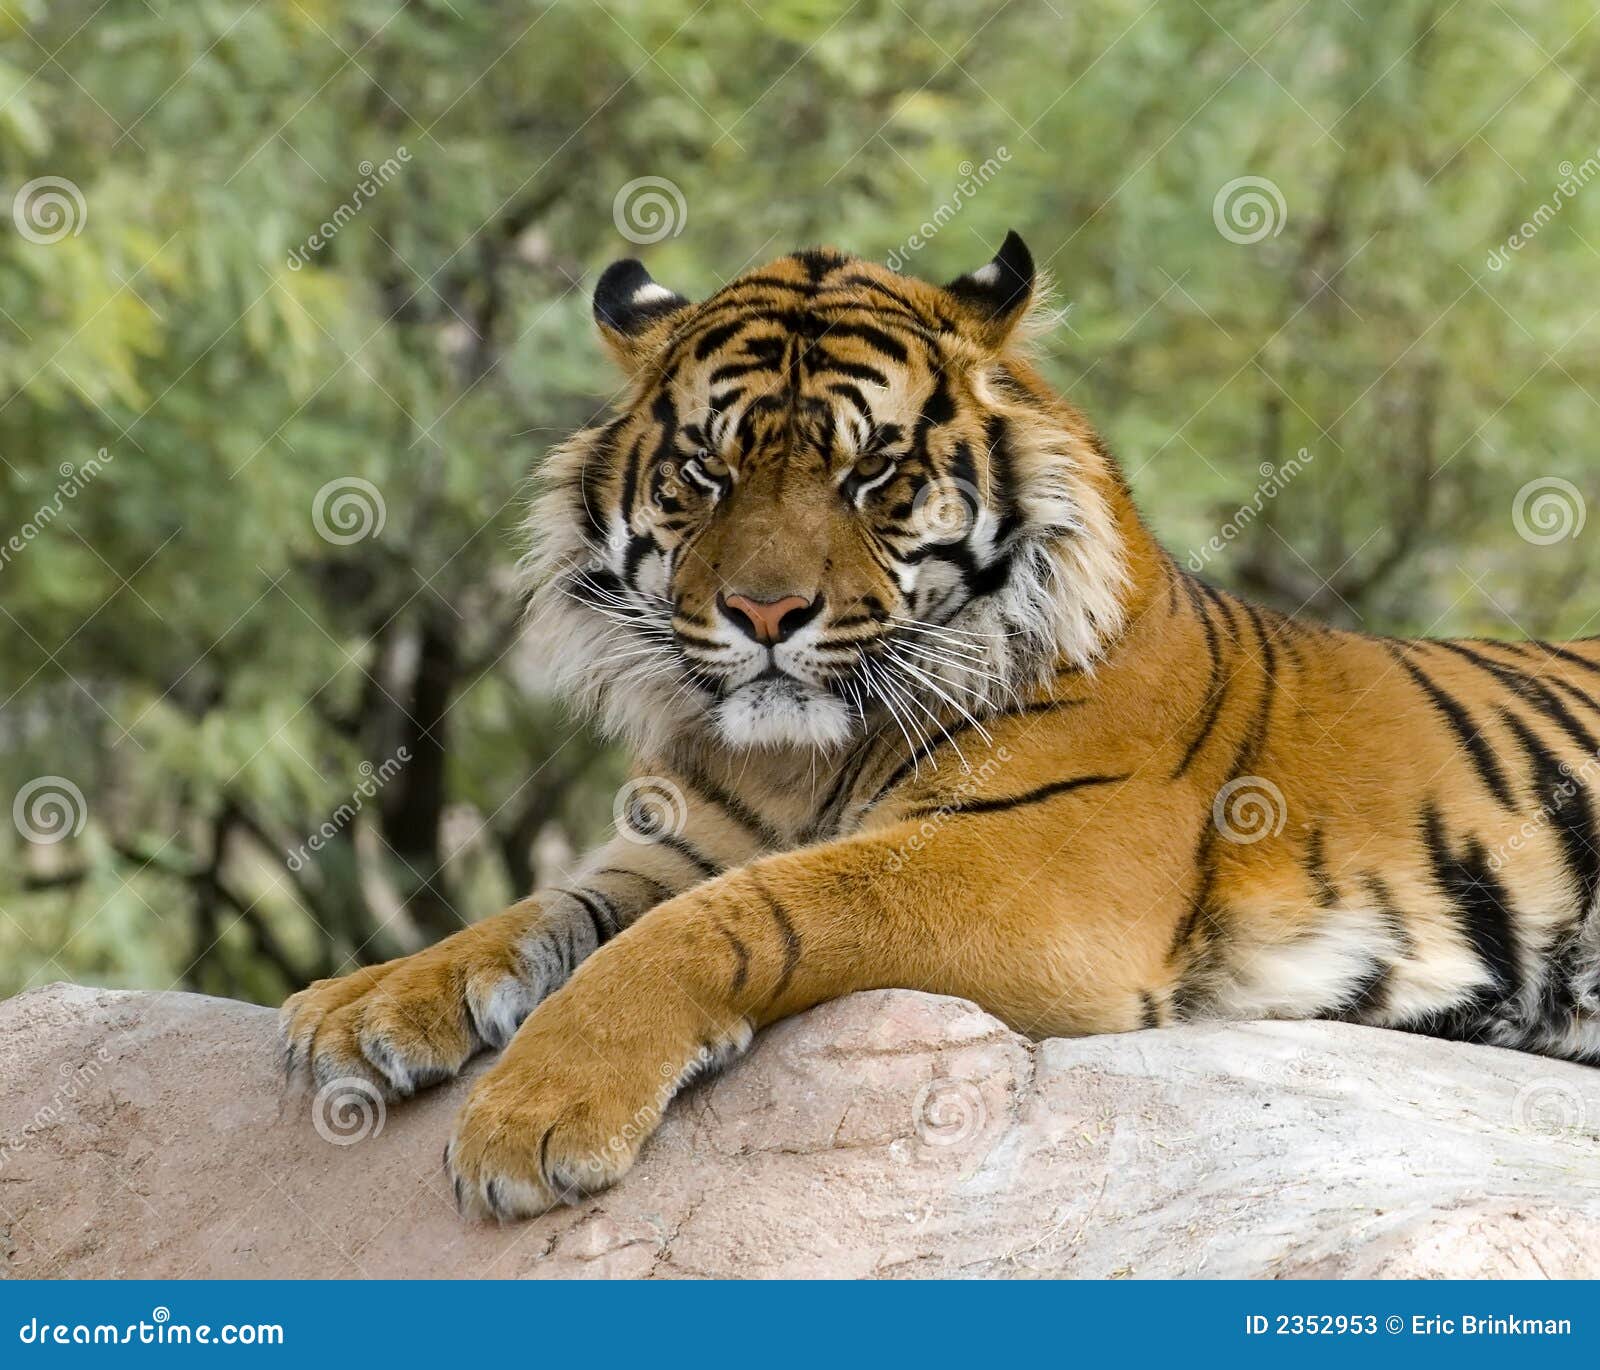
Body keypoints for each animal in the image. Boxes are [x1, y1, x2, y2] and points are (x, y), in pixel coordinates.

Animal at [280, 230, 1600, 1221]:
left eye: (872, 473)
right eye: (705, 470)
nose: (766, 611)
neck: (800, 762)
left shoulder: (1033, 863)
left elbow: (740, 916)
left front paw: (536, 1112)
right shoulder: (678, 845)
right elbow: (538, 914)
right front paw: (363, 1005)